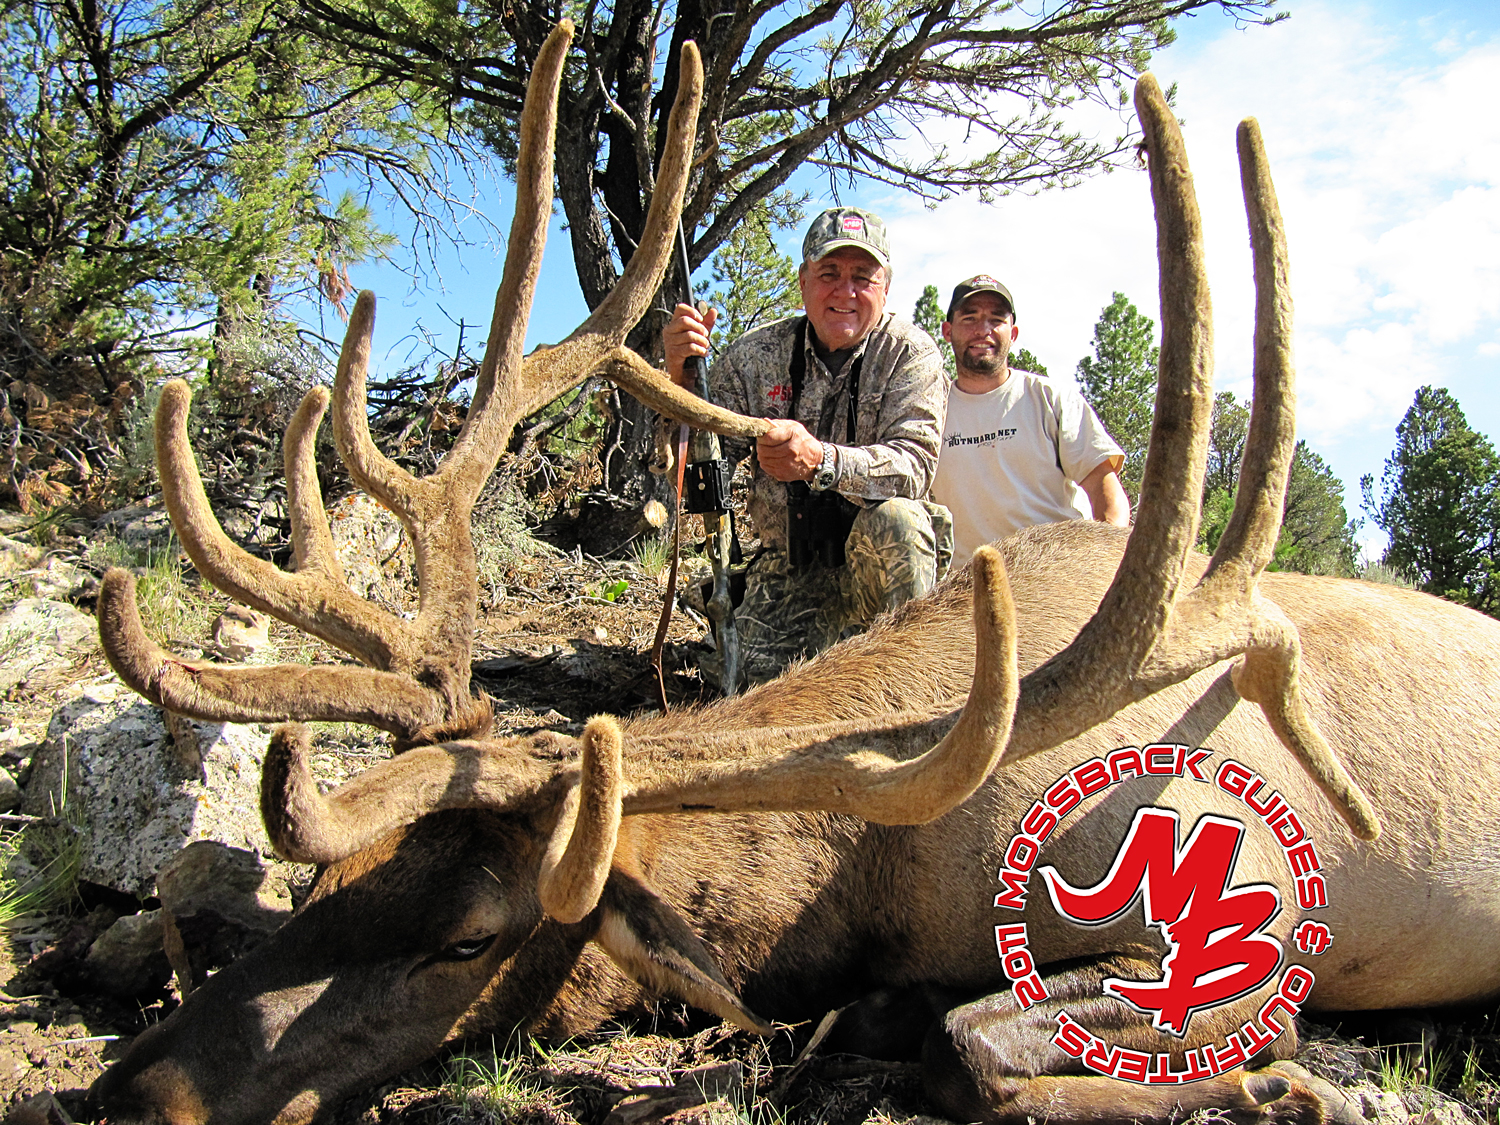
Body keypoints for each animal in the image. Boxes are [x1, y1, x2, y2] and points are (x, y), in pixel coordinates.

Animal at [89, 21, 1500, 1125]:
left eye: (469, 938)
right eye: (322, 884)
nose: (131, 1093)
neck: (877, 878)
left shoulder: (1257, 901)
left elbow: (977, 1046)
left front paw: (1280, 1083)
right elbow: (918, 1029)